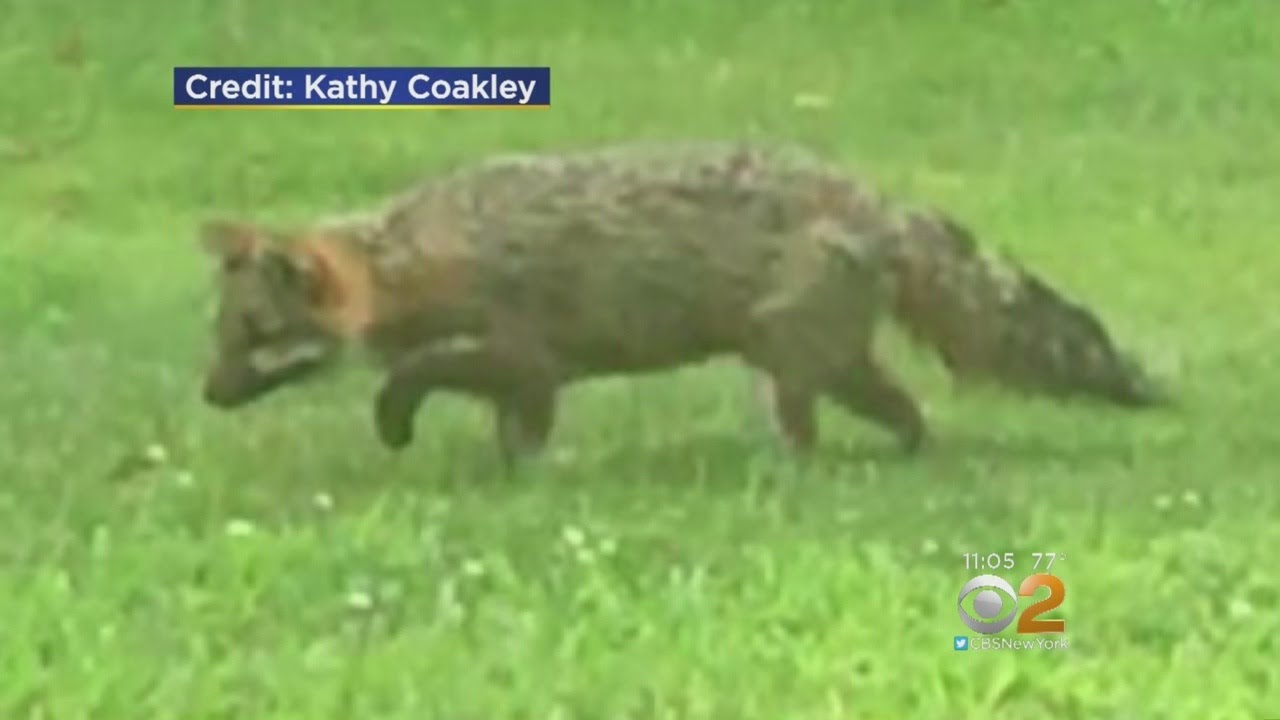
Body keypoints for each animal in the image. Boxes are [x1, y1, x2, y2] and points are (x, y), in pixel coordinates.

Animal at [198, 140, 1166, 461]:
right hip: (825, 365)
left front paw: (397, 426)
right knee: (907, 411)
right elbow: (519, 437)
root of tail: (875, 202)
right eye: (221, 334)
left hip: (793, 363)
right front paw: (519, 481)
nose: (206, 396)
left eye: (254, 332)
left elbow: (405, 380)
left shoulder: (518, 354)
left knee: (831, 426)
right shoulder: (529, 382)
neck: (408, 258)